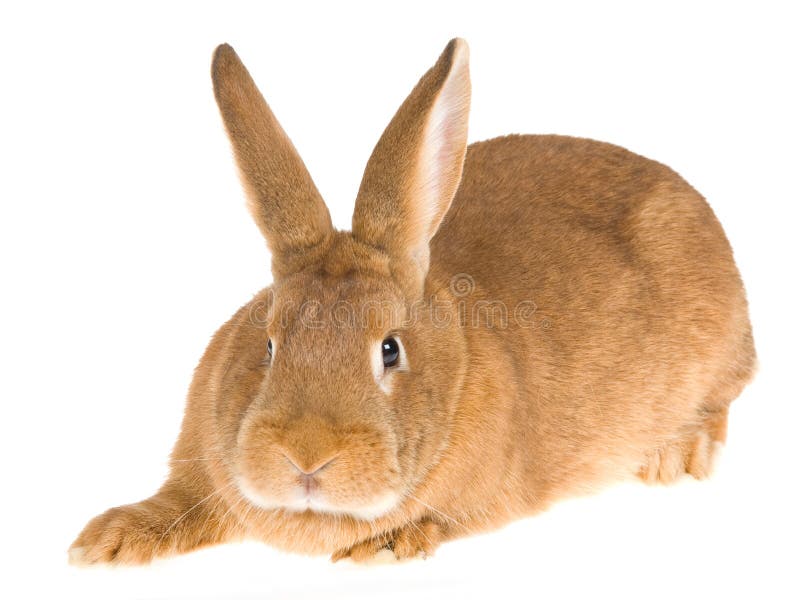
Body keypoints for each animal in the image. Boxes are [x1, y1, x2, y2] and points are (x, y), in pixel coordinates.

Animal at [69, 38, 755, 565]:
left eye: (390, 351)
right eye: (267, 344)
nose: (307, 456)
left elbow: (443, 519)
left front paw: (385, 547)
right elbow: (179, 503)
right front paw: (106, 542)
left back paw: (677, 456)